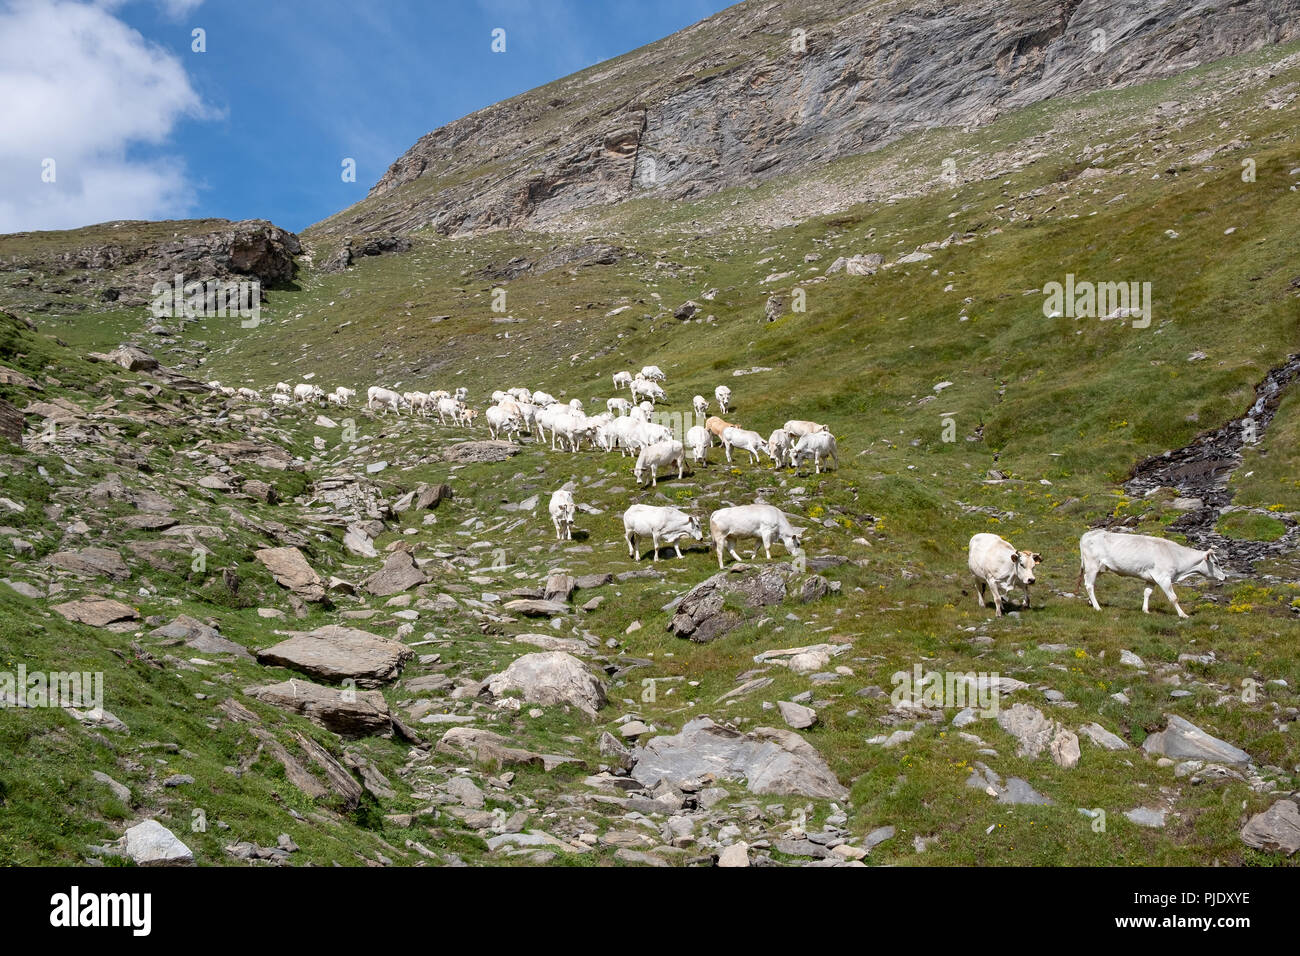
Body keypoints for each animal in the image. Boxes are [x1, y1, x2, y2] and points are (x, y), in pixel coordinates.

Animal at [1078, 529, 1225, 618]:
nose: (1225, 576)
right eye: (1216, 562)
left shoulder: (1152, 578)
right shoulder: (1163, 578)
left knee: (1089, 583)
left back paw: (1091, 603)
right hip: (1092, 565)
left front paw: (1145, 610)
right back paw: (1097, 607)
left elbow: (1147, 593)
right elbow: (1174, 598)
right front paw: (1183, 615)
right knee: (1089, 585)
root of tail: (1089, 533)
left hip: (1100, 568)